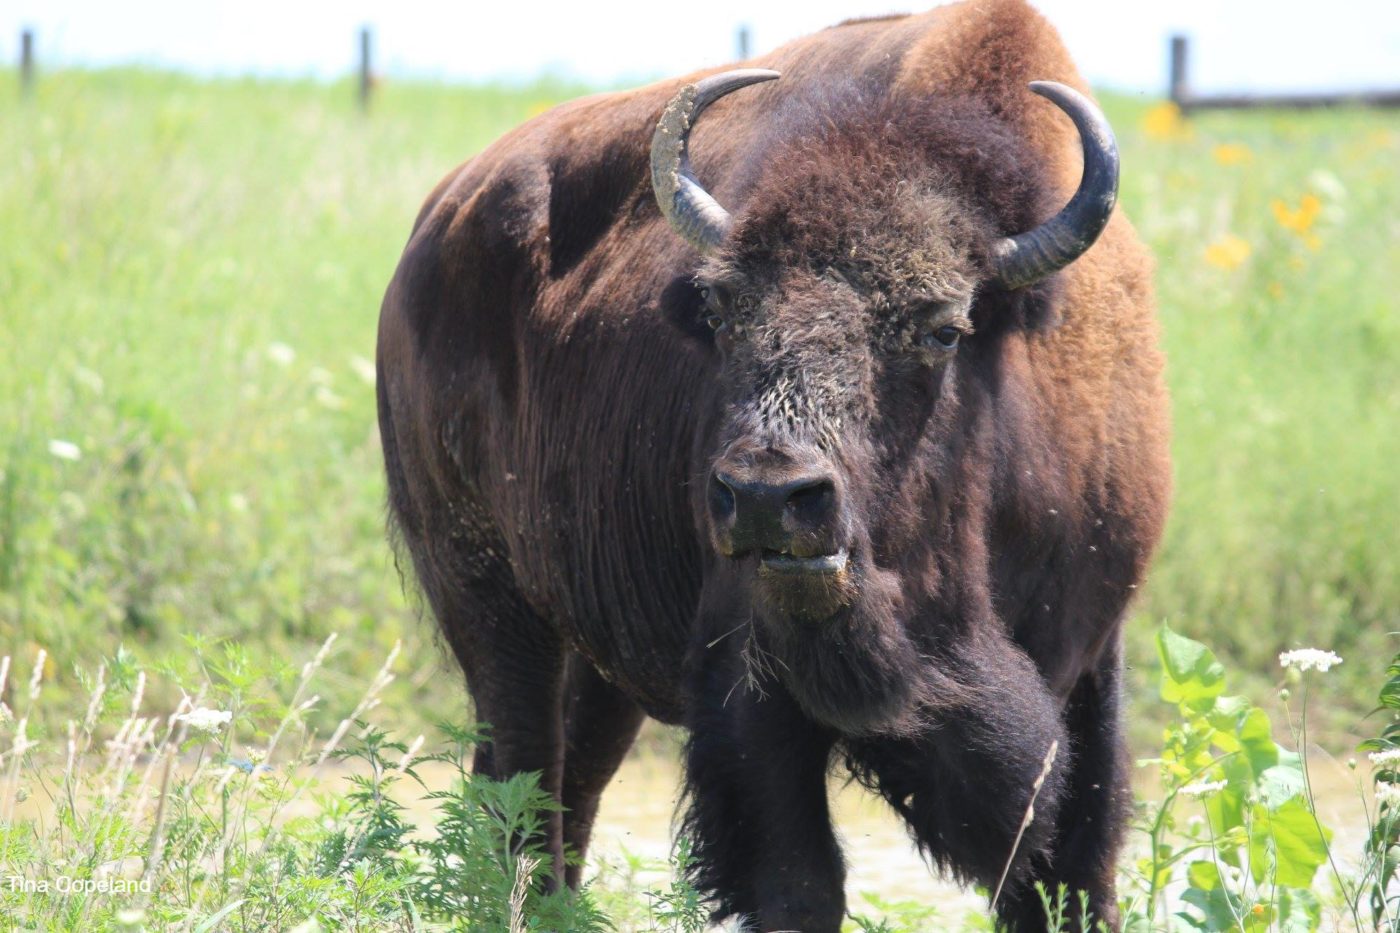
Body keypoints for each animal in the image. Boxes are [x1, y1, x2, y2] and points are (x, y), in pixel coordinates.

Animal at [375, 0, 1171, 929]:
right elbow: (798, 880)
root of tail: (435, 225)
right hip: (485, 592)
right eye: (720, 310)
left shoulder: (1088, 667)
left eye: (943, 328)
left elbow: (1072, 872)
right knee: (522, 770)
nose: (767, 496)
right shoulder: (752, 696)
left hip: (596, 648)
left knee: (568, 779)